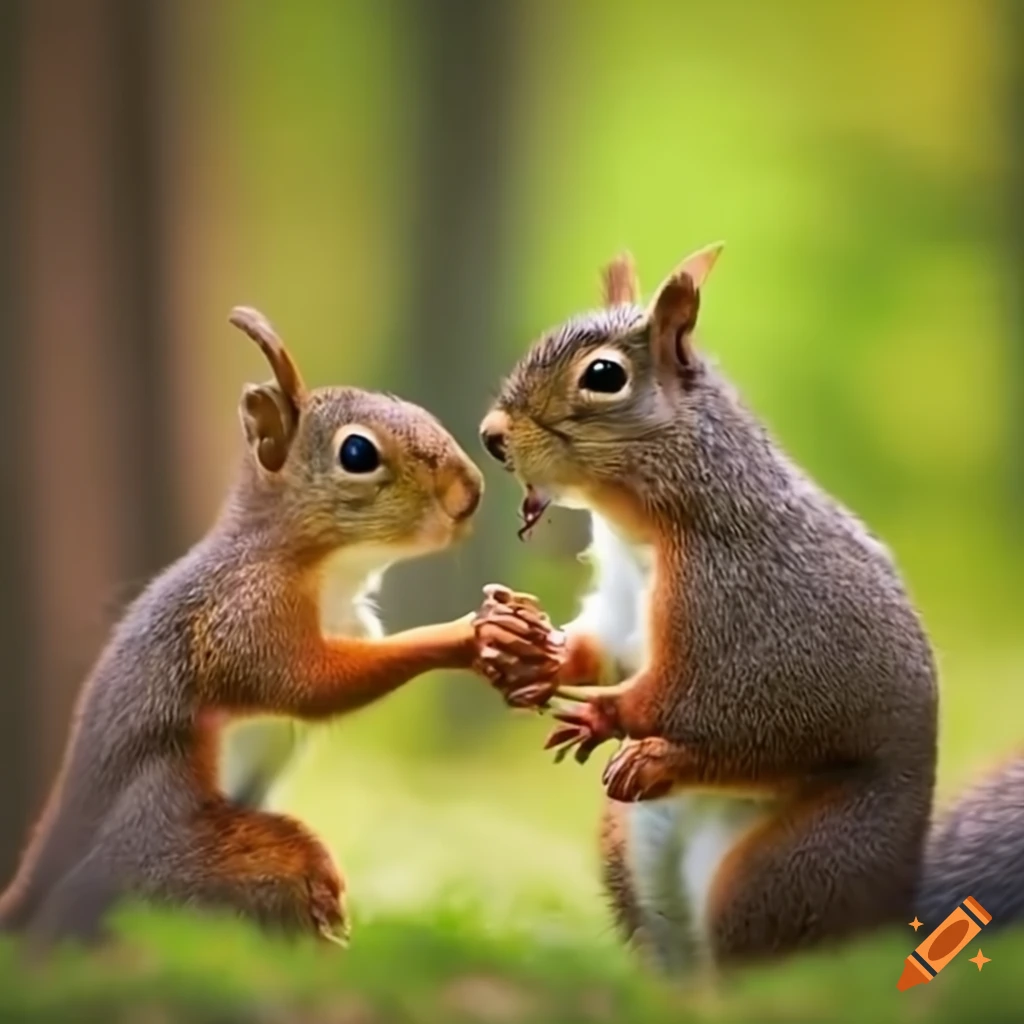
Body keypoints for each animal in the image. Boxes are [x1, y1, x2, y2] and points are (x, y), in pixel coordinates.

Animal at [0, 305, 500, 948]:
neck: (322, 567)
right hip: (165, 832)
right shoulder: (240, 614)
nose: (470, 493)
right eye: (357, 454)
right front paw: (465, 633)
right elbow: (304, 683)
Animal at [473, 245, 1023, 973]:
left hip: (788, 874)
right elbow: (606, 645)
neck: (647, 522)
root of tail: (884, 926)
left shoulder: (737, 605)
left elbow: (699, 696)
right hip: (632, 858)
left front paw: (605, 713)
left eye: (603, 376)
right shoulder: (620, 597)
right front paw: (533, 650)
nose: (491, 437)